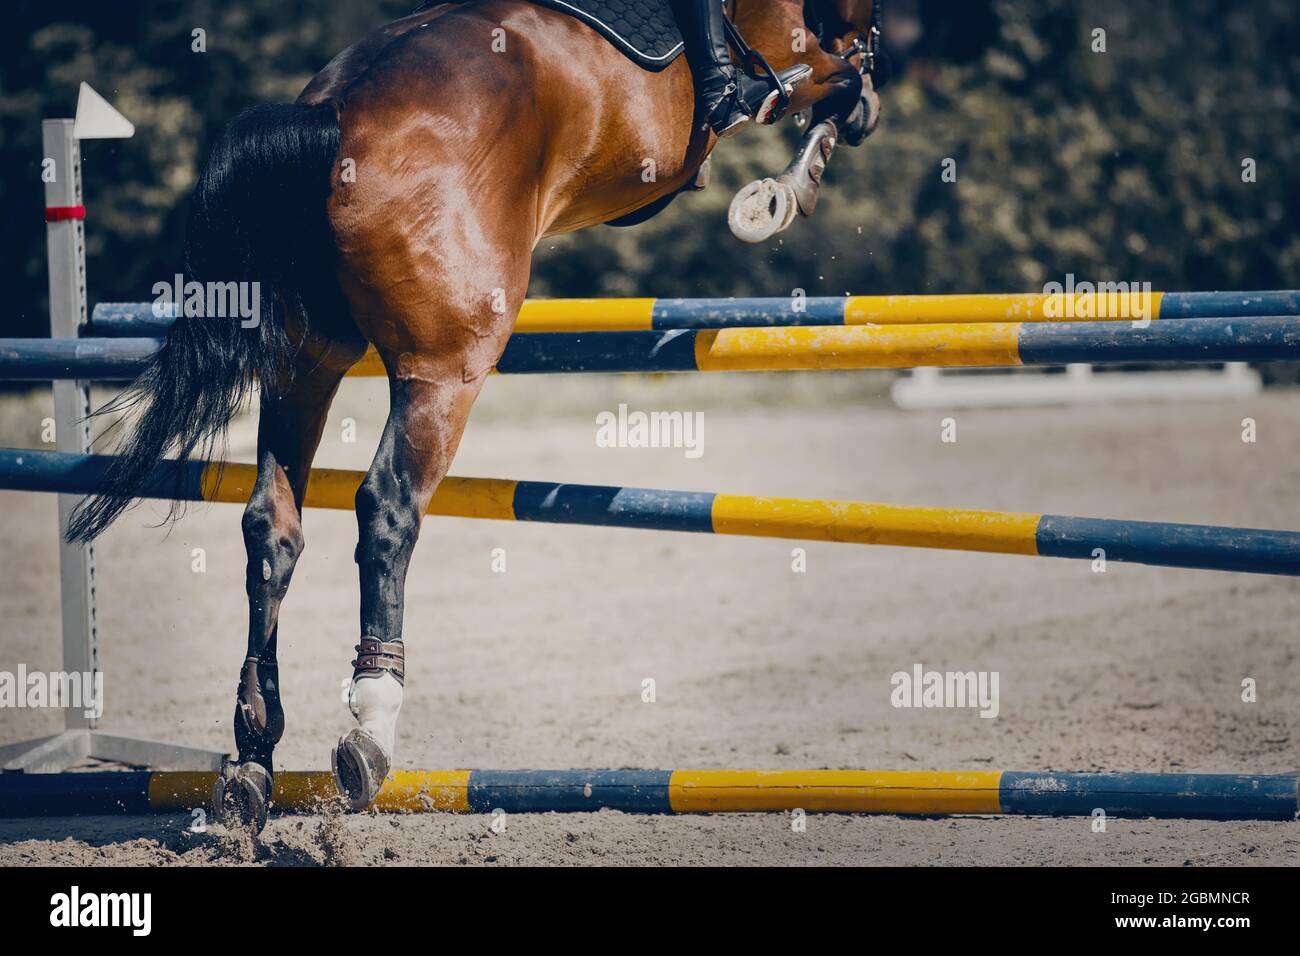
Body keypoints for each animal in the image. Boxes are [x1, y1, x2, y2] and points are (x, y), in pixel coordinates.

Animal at [68, 0, 884, 830]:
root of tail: (334, 114)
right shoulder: (788, 54)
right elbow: (838, 77)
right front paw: (790, 187)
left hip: (306, 362)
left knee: (273, 527)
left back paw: (254, 757)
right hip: (447, 367)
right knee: (387, 507)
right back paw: (371, 725)